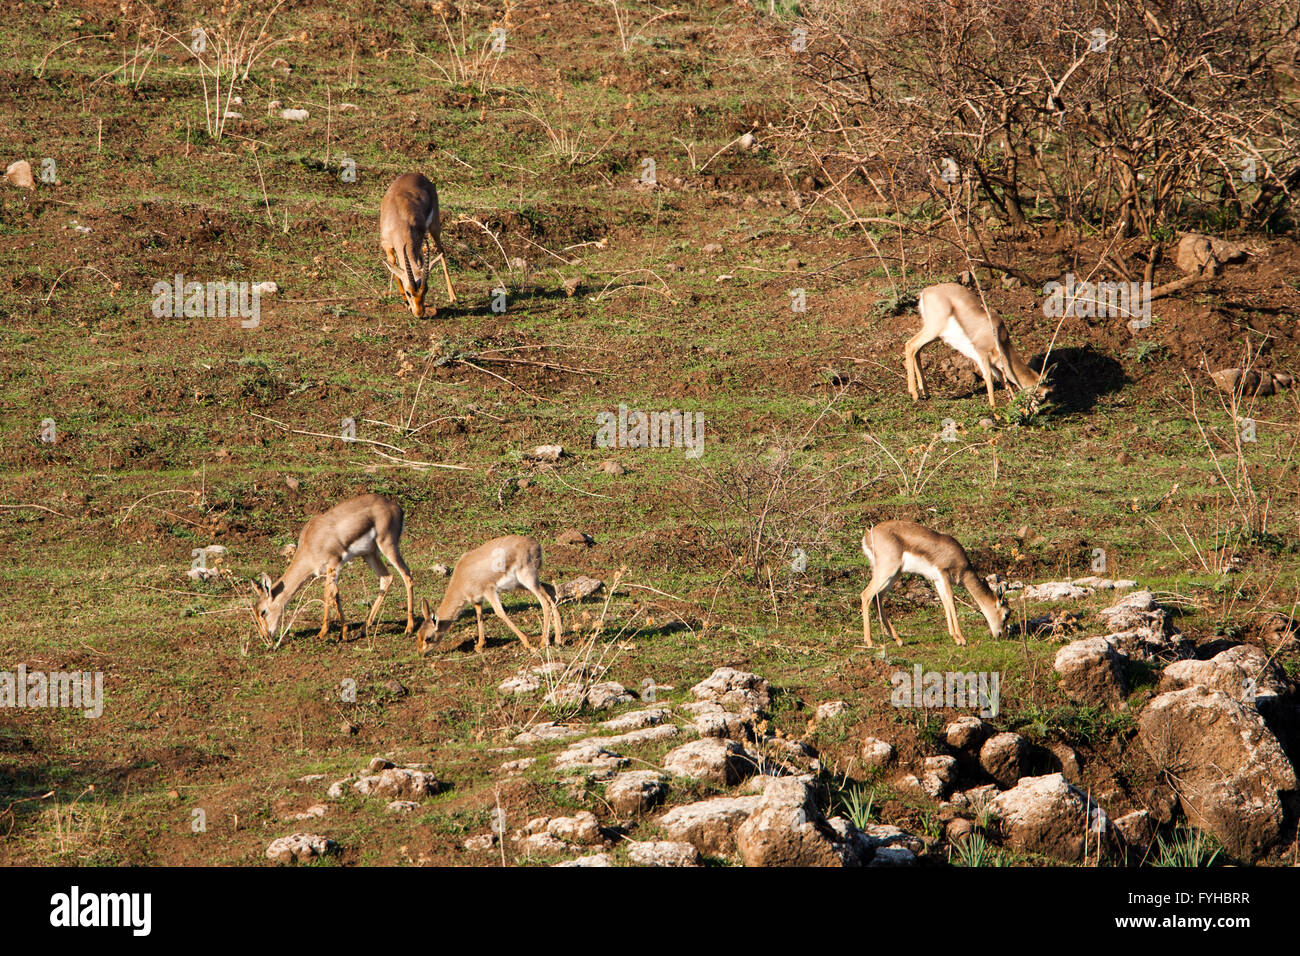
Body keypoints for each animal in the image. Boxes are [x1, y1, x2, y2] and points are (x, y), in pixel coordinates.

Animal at [250, 494, 415, 646]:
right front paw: (343, 634)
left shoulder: (334, 563)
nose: (265, 637)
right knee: (386, 578)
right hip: (369, 554)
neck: (311, 543)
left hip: (387, 545)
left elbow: (327, 594)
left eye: (263, 611)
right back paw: (364, 629)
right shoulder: (330, 570)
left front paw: (322, 633)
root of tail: (396, 507)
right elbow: (336, 594)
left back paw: (409, 628)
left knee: (407, 575)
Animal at [380, 172, 456, 317]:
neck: (398, 221)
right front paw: (405, 302)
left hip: (434, 228)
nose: (419, 313)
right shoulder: (387, 245)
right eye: (409, 292)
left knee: (441, 252)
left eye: (426, 290)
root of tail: (417, 174)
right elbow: (394, 267)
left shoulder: (417, 241)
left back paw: (453, 296)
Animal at [415, 535, 562, 654]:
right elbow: (479, 616)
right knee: (550, 592)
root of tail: (535, 544)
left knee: (544, 602)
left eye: (428, 638)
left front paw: (528, 644)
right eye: (418, 635)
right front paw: (480, 645)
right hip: (525, 583)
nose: (421, 653)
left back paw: (543, 642)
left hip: (528, 579)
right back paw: (558, 639)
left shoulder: (489, 591)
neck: (461, 577)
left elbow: (500, 613)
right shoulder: (477, 600)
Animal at [860, 520, 1009, 648]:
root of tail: (868, 535)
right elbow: (952, 602)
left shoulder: (937, 580)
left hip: (894, 574)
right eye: (1006, 614)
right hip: (887, 571)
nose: (1002, 635)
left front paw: (954, 637)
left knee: (878, 597)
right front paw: (962, 639)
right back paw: (869, 642)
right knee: (866, 595)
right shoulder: (944, 575)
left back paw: (898, 639)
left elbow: (945, 602)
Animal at [906, 282, 1047, 408]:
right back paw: (914, 394)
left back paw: (925, 392)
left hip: (936, 336)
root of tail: (926, 291)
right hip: (932, 331)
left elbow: (1002, 378)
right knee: (910, 345)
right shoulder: (982, 354)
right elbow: (988, 377)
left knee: (917, 351)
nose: (1037, 411)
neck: (999, 336)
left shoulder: (995, 363)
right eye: (1042, 395)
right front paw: (993, 407)